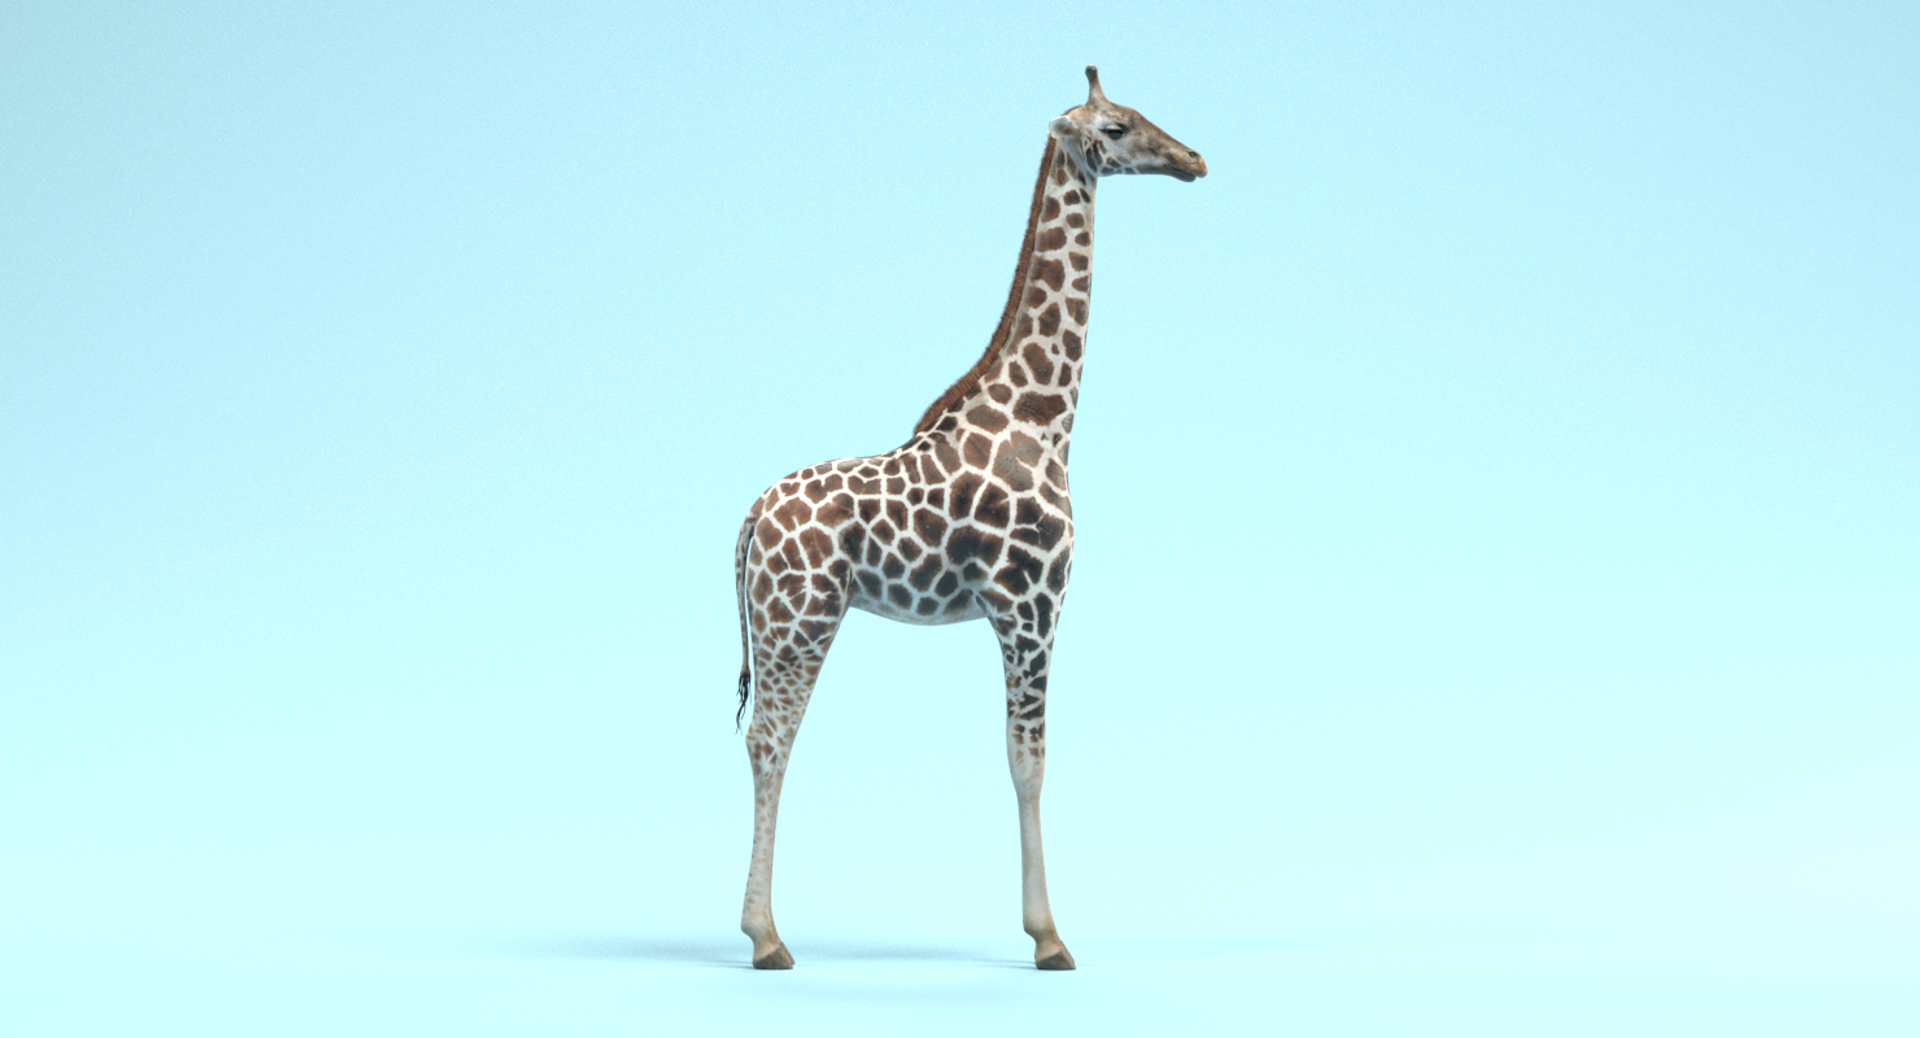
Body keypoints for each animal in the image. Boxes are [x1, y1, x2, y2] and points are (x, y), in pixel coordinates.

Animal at [732, 66, 1205, 971]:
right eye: (1118, 128)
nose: (1195, 159)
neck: (1042, 416)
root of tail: (745, 522)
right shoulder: (1032, 607)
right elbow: (1030, 761)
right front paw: (1050, 937)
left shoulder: (1019, 614)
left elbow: (1021, 758)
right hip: (797, 620)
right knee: (772, 743)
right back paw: (767, 939)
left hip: (785, 624)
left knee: (764, 742)